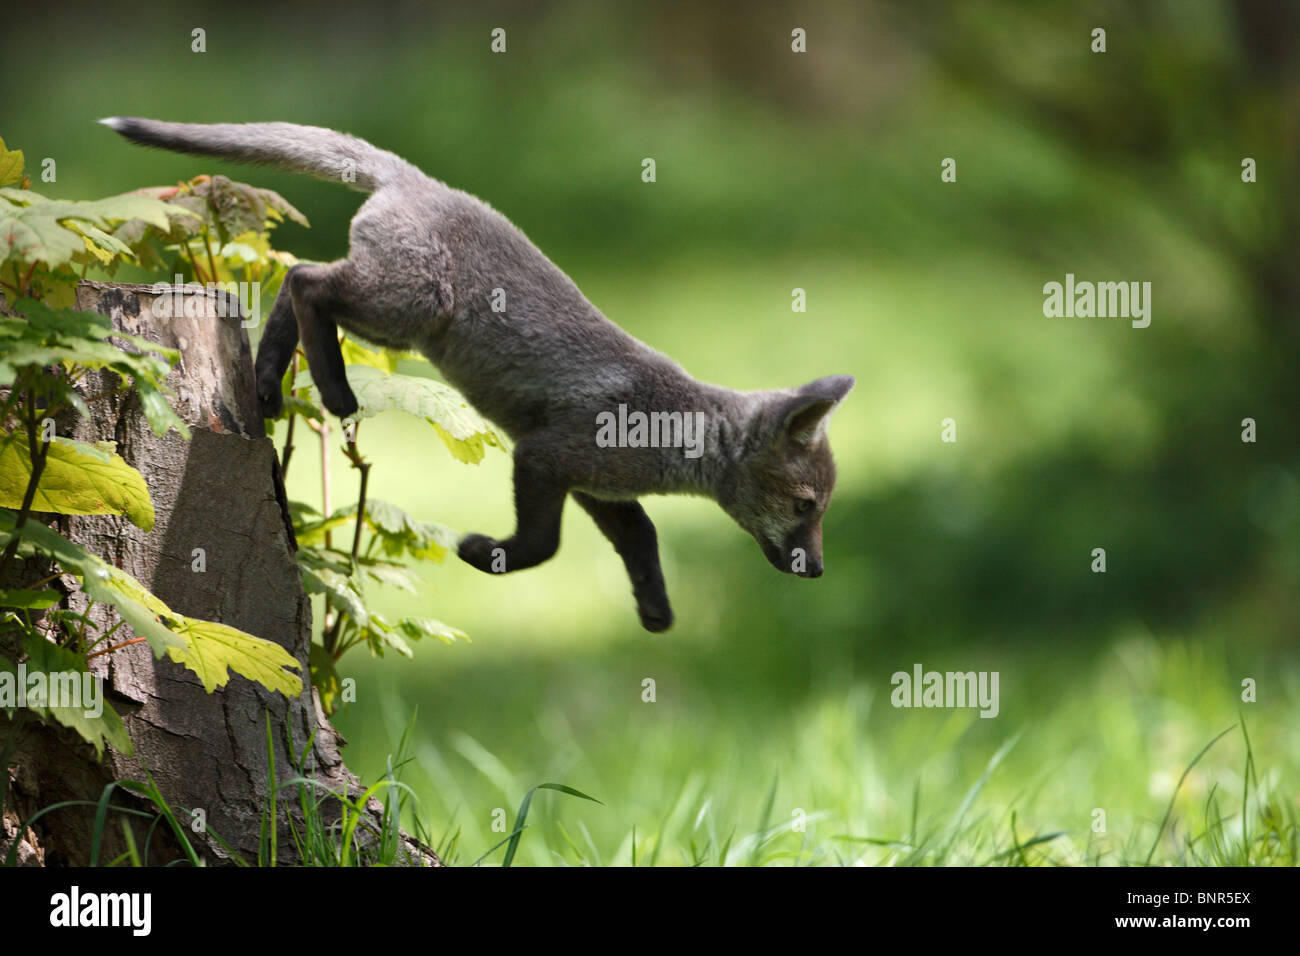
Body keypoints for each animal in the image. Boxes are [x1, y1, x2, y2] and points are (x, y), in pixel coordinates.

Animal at [101, 118, 855, 632]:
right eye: (805, 507)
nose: (818, 569)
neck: (676, 433)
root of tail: (422, 180)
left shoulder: (596, 488)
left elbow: (641, 540)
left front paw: (655, 610)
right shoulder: (547, 458)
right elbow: (545, 547)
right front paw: (484, 553)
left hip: (393, 320)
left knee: (293, 286)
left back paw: (266, 379)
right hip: (406, 306)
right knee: (306, 280)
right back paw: (336, 390)